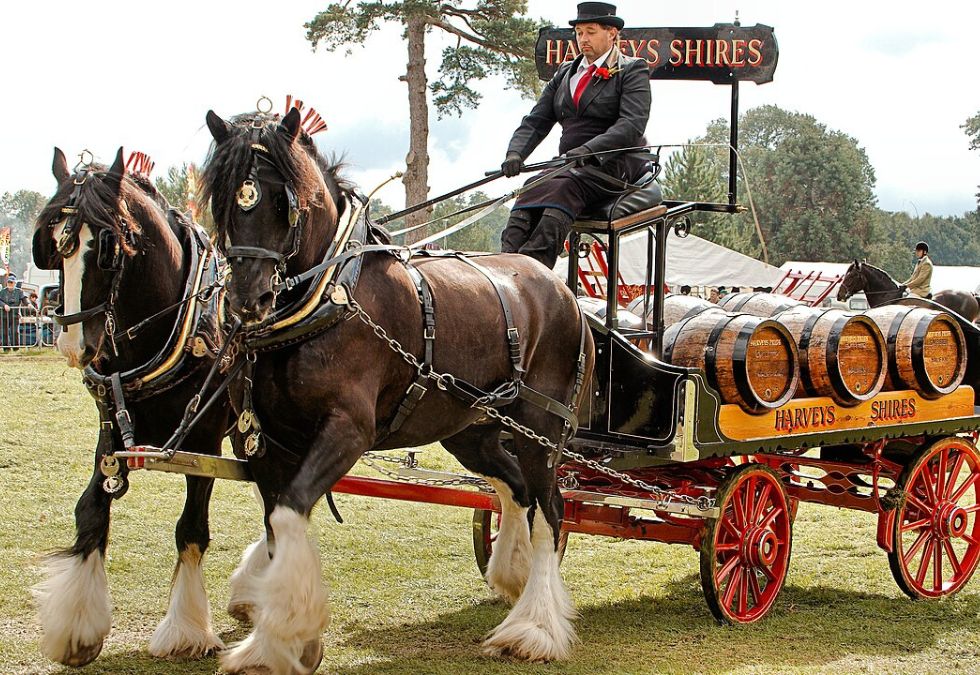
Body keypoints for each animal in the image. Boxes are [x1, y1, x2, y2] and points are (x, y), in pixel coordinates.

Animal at [31, 147, 230, 666]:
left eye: (107, 247)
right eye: (52, 248)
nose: (73, 344)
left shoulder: (203, 439)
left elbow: (191, 528)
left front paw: (186, 629)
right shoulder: (111, 428)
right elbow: (91, 509)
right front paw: (77, 629)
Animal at [201, 106, 594, 672]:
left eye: (284, 200)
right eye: (223, 196)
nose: (247, 299)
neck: (331, 295)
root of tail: (562, 290)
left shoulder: (348, 431)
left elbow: (292, 507)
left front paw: (286, 630)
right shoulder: (267, 441)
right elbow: (277, 522)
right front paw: (276, 643)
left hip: (542, 428)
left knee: (552, 512)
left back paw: (534, 627)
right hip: (472, 431)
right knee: (517, 491)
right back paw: (512, 579)